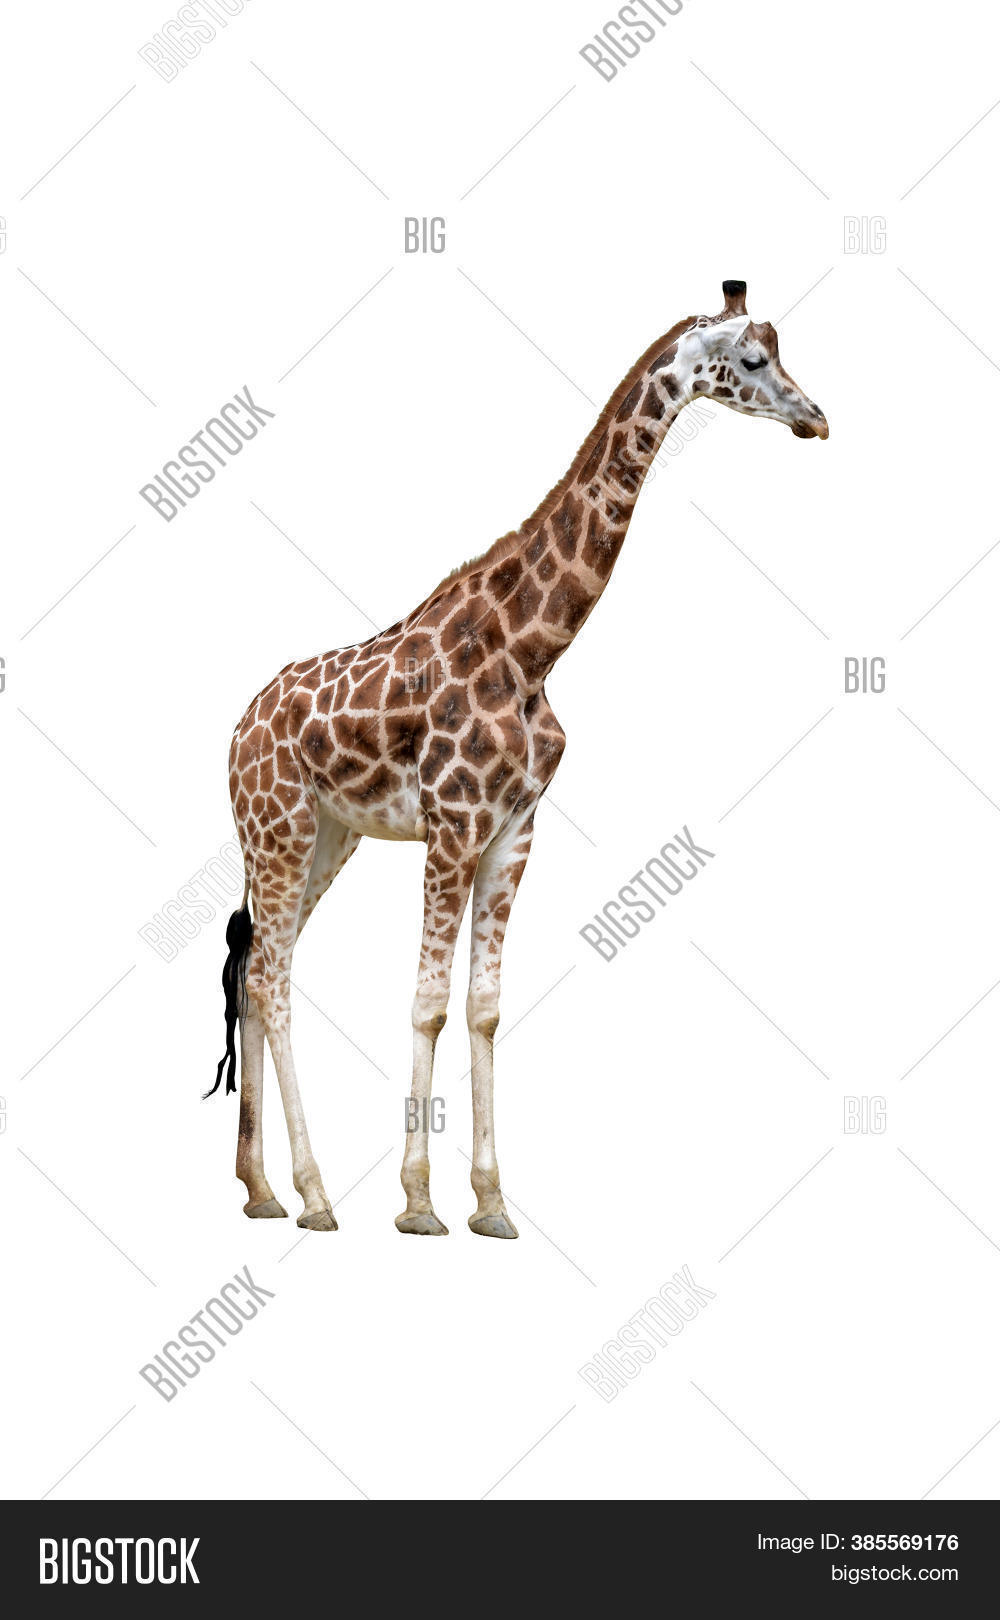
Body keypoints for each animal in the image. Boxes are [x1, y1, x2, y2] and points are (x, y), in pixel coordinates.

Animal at [211, 280, 828, 1237]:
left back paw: (261, 1189)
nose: (817, 419)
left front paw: (493, 1203)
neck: (534, 648)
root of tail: (237, 733)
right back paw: (313, 1195)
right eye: (755, 358)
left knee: (254, 969)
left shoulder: (513, 833)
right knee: (272, 978)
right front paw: (417, 1202)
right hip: (278, 832)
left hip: (322, 838)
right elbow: (427, 1003)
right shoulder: (453, 827)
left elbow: (486, 1008)